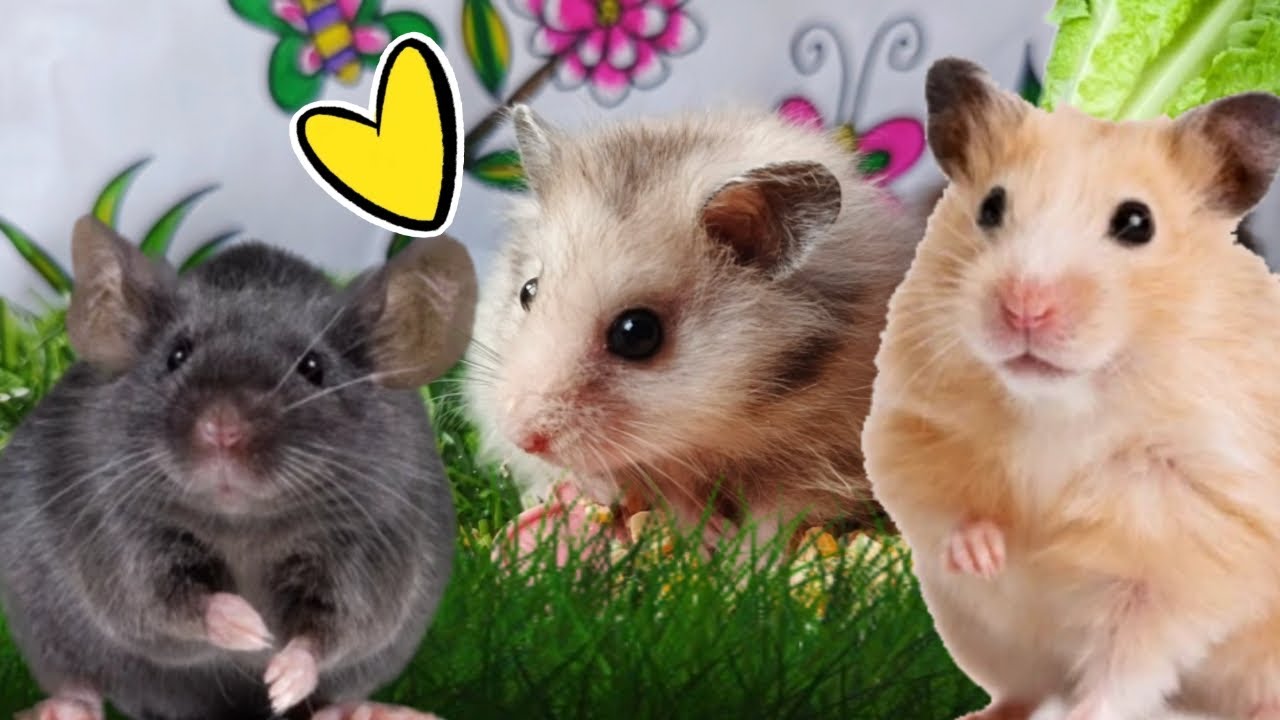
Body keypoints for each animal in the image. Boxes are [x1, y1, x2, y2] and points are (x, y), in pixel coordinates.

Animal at [0, 217, 475, 720]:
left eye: (313, 368)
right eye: (177, 355)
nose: (222, 429)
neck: (243, 523)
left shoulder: (370, 544)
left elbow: (340, 627)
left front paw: (285, 673)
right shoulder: (119, 530)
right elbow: (159, 599)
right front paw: (248, 628)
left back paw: (367, 710)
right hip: (50, 631)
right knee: (80, 681)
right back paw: (60, 708)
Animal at [463, 105, 927, 552]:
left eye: (637, 333)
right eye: (527, 291)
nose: (522, 436)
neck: (717, 426)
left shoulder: (819, 460)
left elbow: (777, 513)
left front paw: (743, 560)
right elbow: (671, 497)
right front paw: (705, 540)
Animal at [861, 58, 1280, 720]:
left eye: (1137, 223)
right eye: (991, 207)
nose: (1024, 309)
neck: (1060, 404)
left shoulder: (1191, 544)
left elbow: (1130, 658)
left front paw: (1087, 711)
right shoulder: (909, 422)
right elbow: (940, 500)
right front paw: (986, 556)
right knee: (1023, 688)